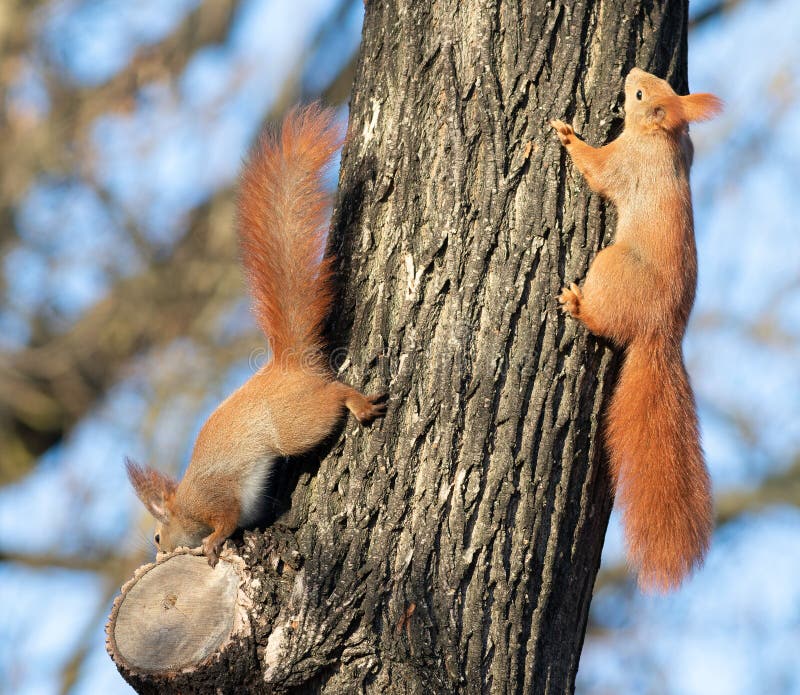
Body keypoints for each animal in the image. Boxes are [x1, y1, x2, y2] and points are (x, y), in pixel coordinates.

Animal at [127, 105, 385, 567]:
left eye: (156, 536)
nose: (158, 557)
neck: (185, 503)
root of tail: (289, 366)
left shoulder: (215, 499)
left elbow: (227, 519)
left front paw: (212, 543)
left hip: (298, 423)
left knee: (334, 395)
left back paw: (358, 403)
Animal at [550, 68, 722, 591]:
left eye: (642, 94)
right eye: (659, 81)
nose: (631, 74)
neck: (661, 139)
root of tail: (662, 329)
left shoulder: (626, 164)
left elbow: (598, 170)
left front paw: (568, 135)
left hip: (609, 266)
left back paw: (577, 304)